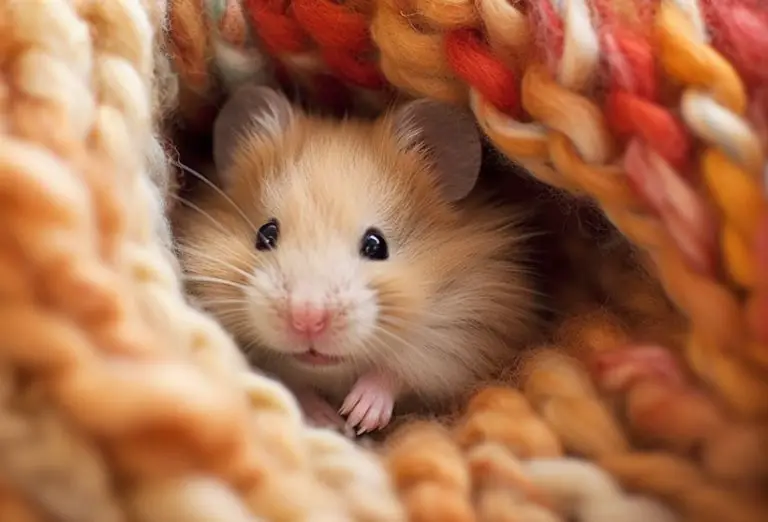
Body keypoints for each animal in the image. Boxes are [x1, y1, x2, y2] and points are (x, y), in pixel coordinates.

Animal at [174, 84, 541, 435]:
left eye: (376, 245)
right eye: (266, 234)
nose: (306, 318)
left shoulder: (461, 341)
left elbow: (396, 371)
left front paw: (359, 415)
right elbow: (291, 381)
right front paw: (328, 420)